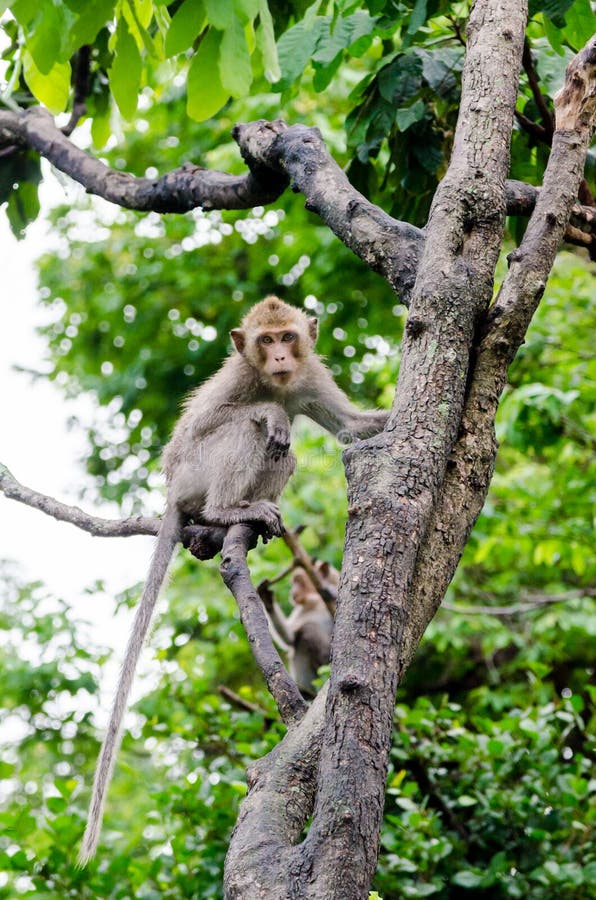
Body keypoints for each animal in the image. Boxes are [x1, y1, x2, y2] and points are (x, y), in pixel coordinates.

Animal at [260, 560, 339, 697]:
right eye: (294, 582)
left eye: (299, 581)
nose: (292, 590)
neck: (315, 597)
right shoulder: (302, 607)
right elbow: (290, 638)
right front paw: (267, 600)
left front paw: (332, 592)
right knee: (303, 636)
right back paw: (305, 692)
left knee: (307, 631)